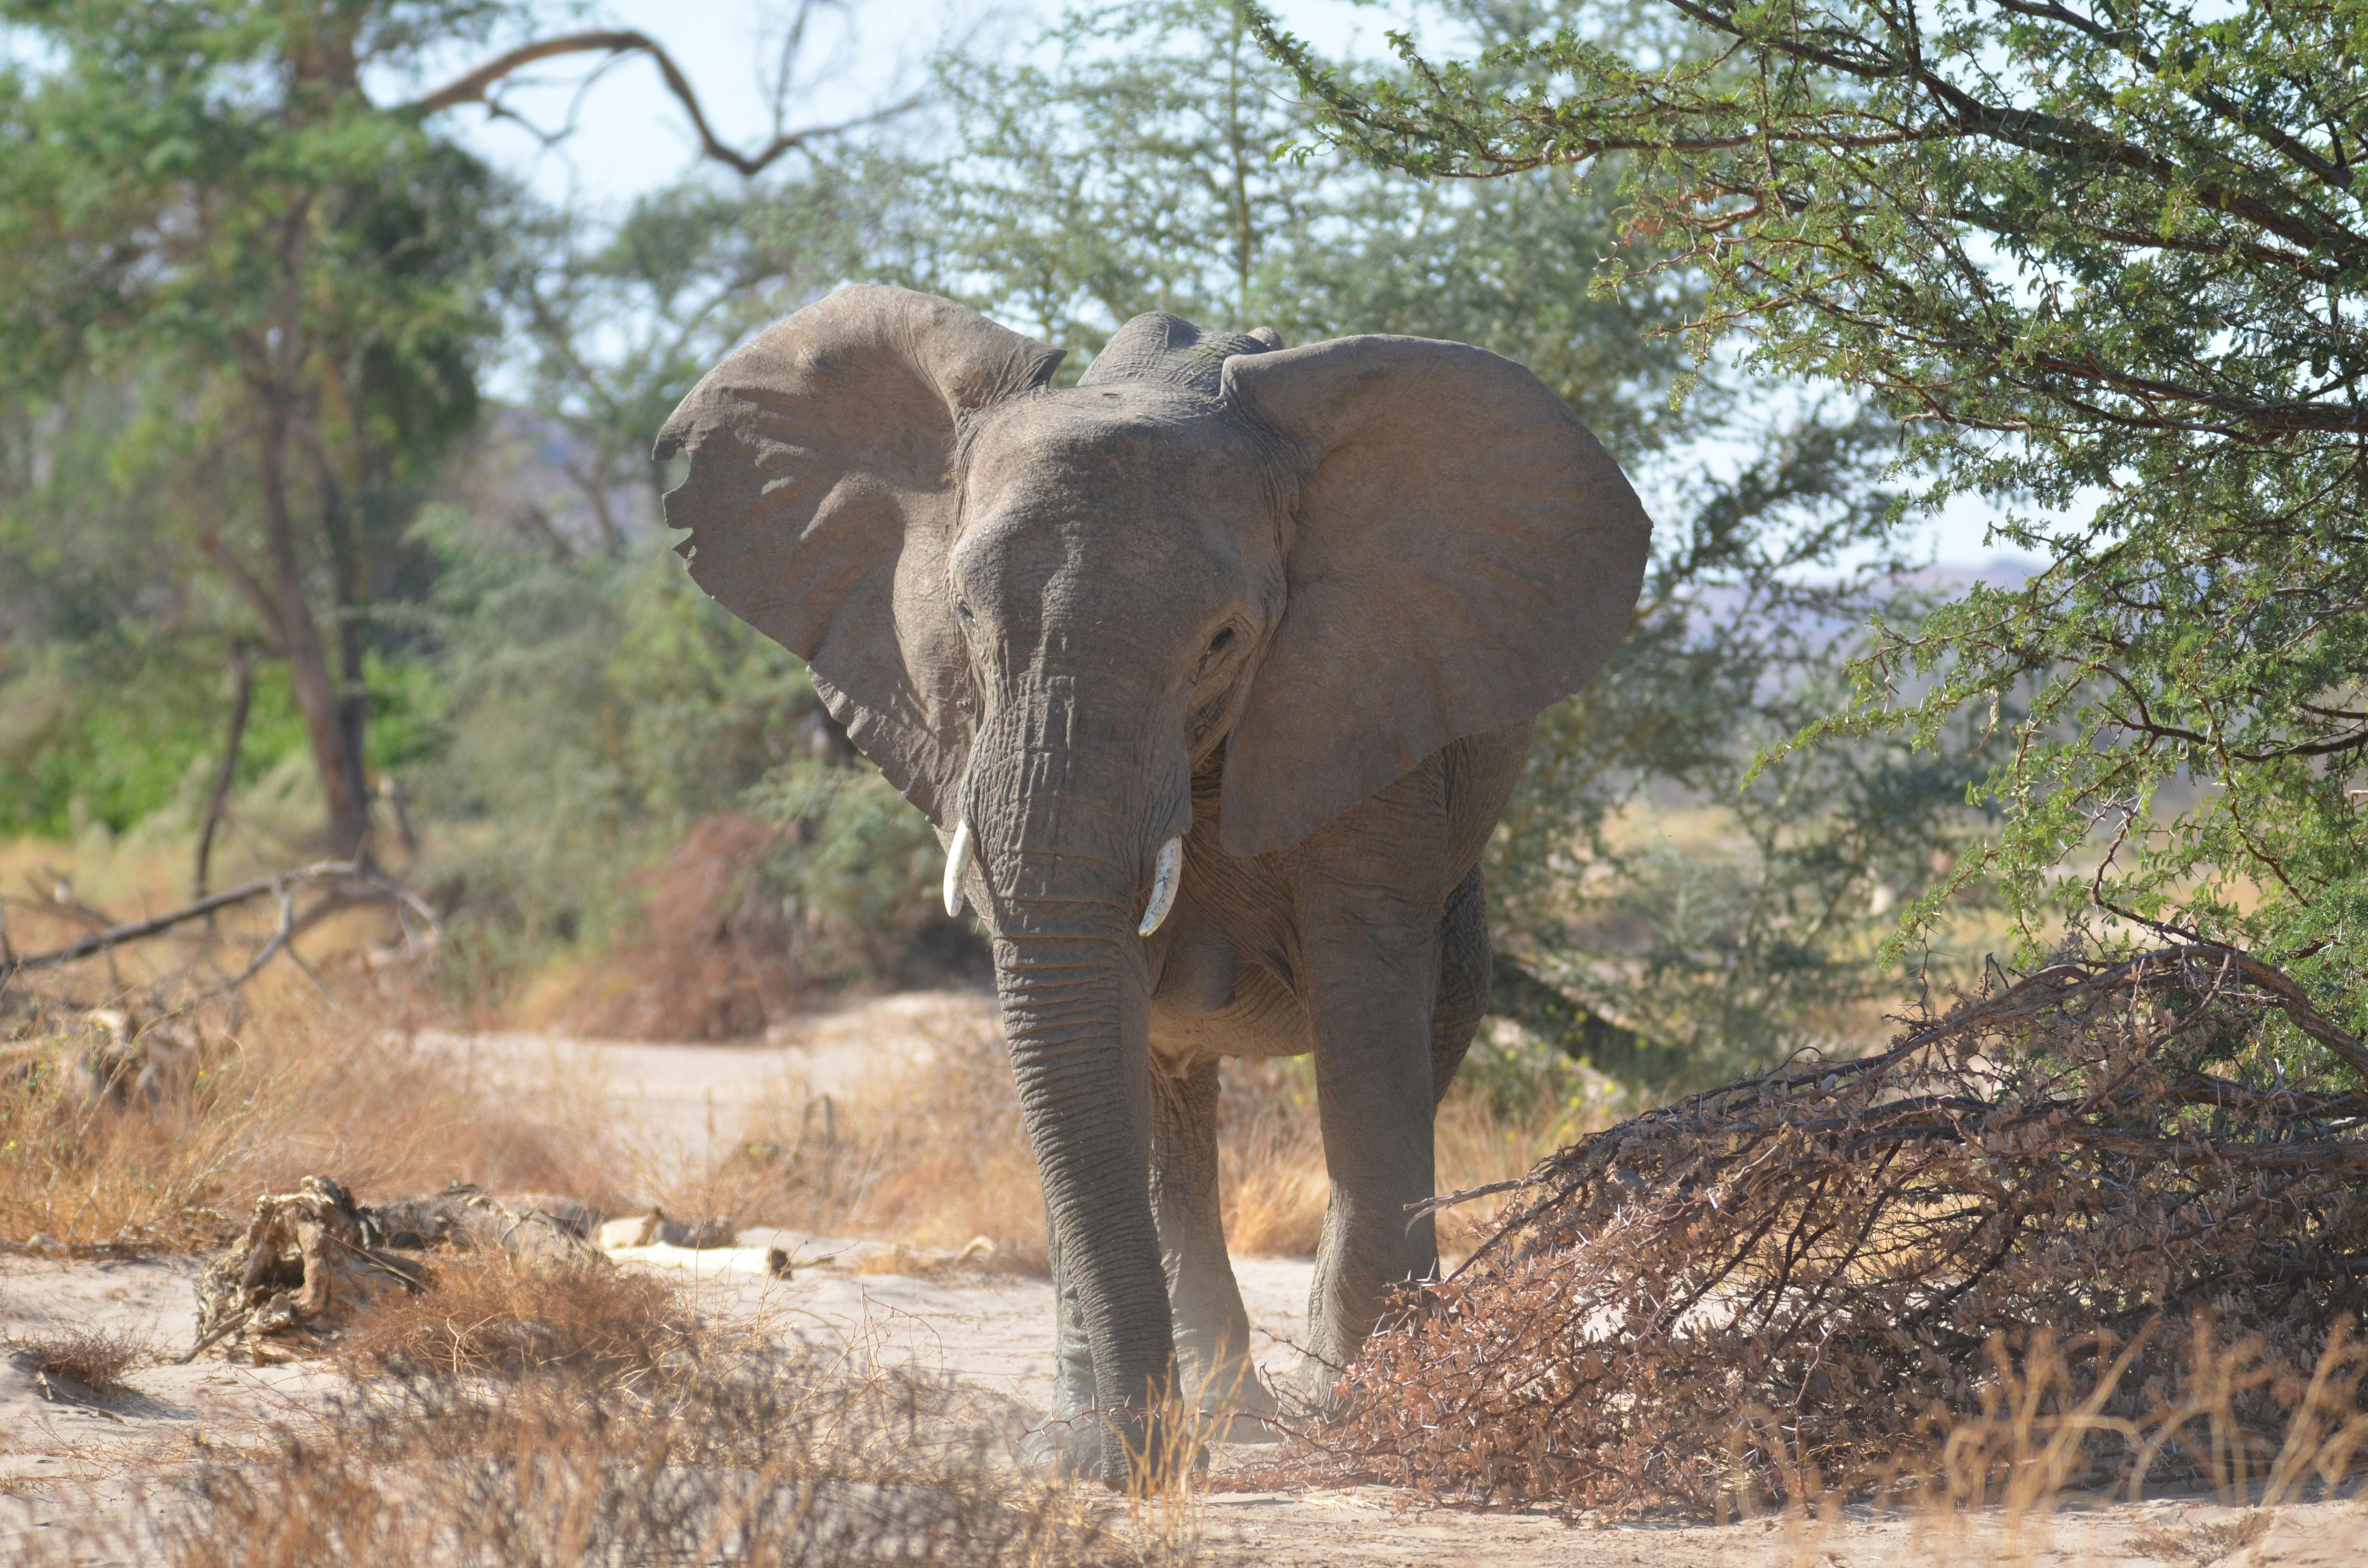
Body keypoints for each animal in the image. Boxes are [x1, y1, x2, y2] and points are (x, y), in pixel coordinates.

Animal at [655, 285, 1650, 1485]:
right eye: (963, 619)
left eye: (1224, 640)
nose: (1137, 1459)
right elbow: (1080, 1050)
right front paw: (1082, 1456)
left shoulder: (1366, 695)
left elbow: (1365, 1028)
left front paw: (1357, 1419)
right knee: (1169, 1094)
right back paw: (1229, 1419)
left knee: (1422, 1039)